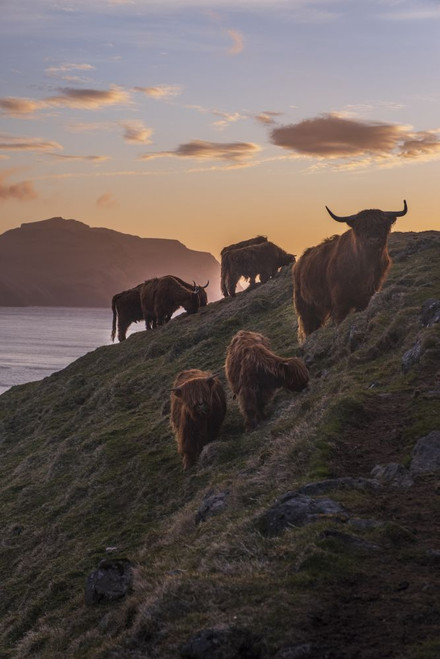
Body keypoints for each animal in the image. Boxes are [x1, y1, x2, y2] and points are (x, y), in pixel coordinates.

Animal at [293, 201, 408, 343]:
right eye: (361, 227)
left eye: (382, 224)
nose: (373, 241)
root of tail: (300, 262)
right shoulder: (340, 302)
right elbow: (339, 321)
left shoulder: (366, 298)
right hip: (305, 306)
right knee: (309, 327)